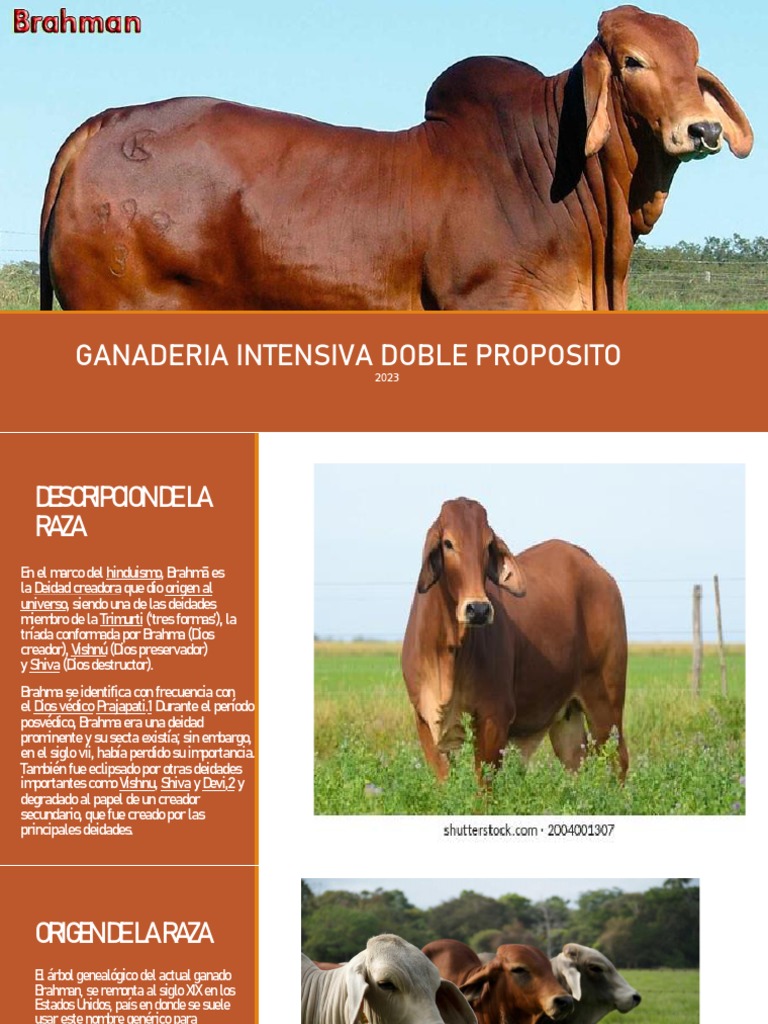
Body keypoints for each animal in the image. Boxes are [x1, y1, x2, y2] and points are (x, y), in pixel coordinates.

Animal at [401, 498, 628, 780]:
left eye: (488, 545)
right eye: (448, 543)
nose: (478, 609)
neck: (447, 649)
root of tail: (597, 570)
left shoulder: (494, 718)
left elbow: (483, 785)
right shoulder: (424, 721)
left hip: (607, 705)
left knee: (619, 761)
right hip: (568, 718)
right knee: (576, 763)